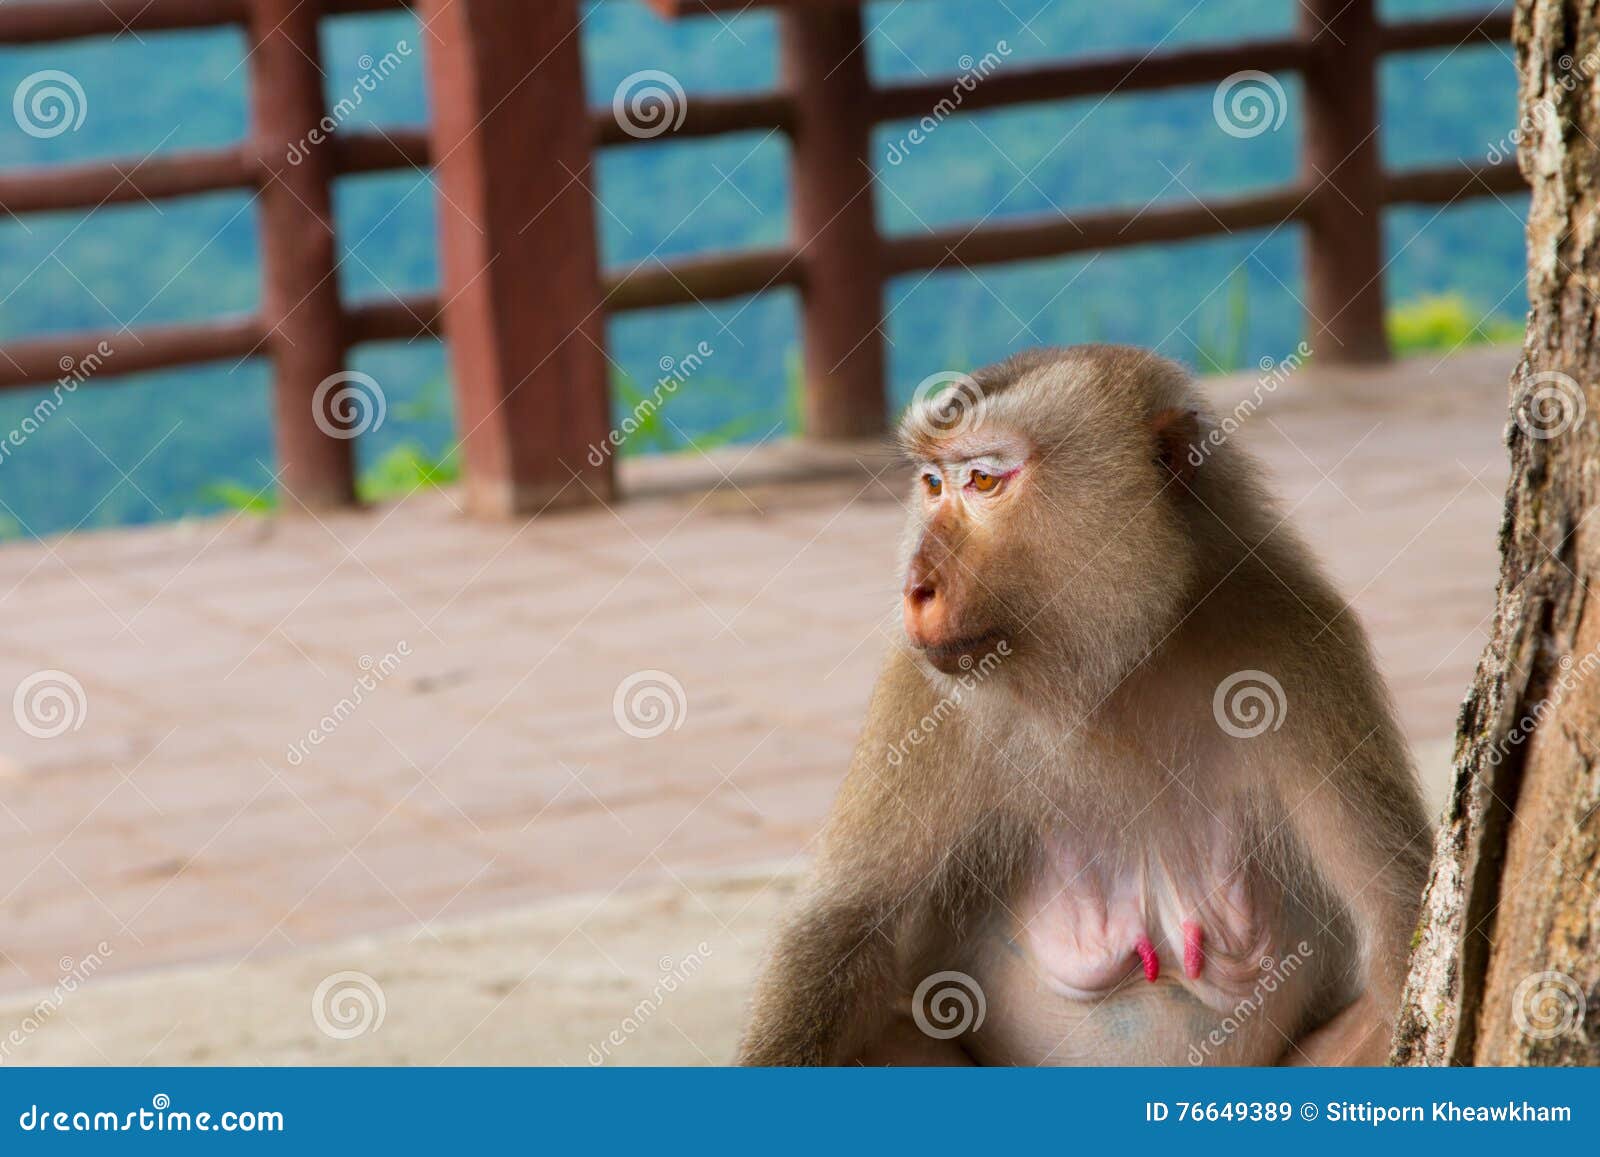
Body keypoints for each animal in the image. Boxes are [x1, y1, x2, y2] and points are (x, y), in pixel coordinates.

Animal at [737, 345, 1432, 1066]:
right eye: (932, 484)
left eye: (982, 481)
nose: (915, 585)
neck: (1120, 659)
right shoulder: (923, 685)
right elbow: (845, 925)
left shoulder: (1299, 641)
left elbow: (1396, 912)